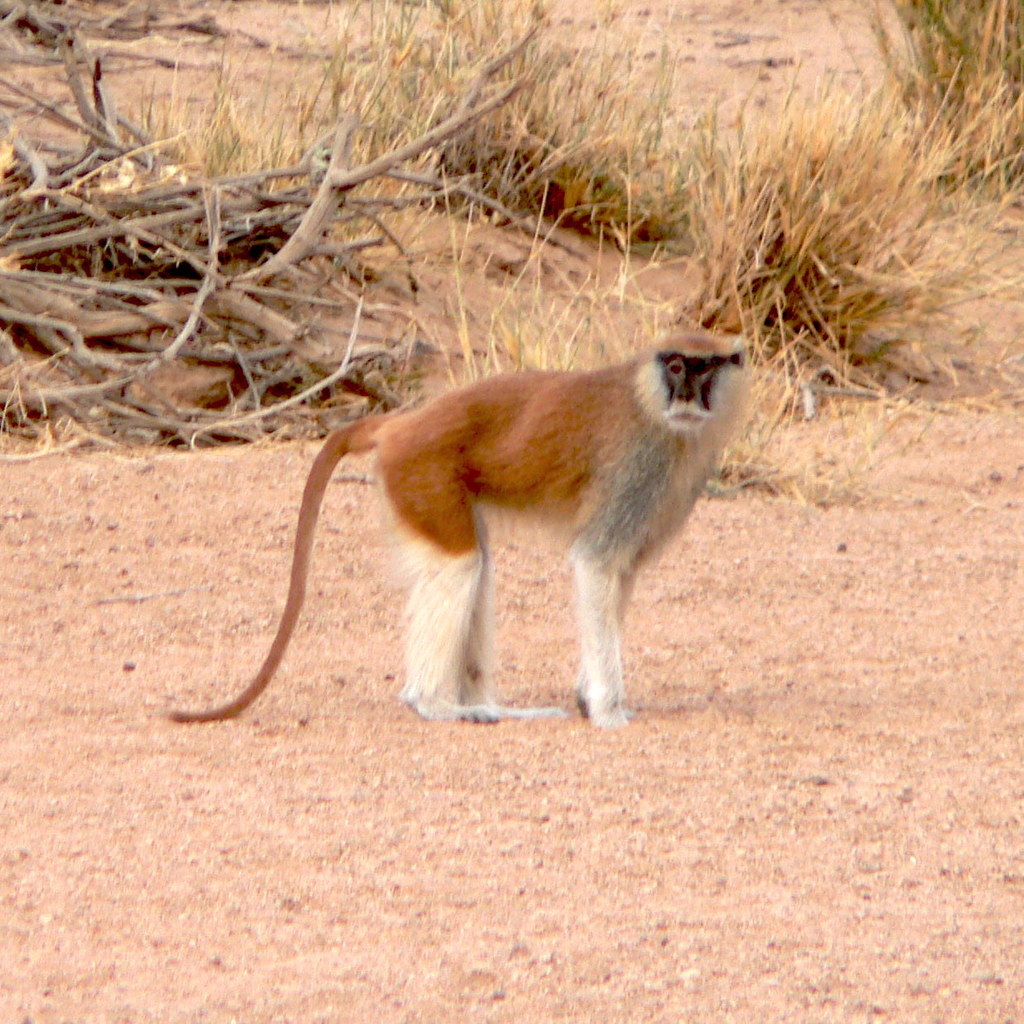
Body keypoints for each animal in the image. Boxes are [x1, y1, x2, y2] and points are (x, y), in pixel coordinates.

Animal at [168, 330, 748, 728]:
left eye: (704, 370)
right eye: (677, 365)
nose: (685, 395)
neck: (649, 402)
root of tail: (401, 422)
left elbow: (619, 575)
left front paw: (589, 697)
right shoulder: (637, 466)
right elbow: (596, 564)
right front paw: (608, 712)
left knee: (478, 565)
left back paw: (487, 706)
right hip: (420, 473)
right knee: (461, 564)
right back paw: (436, 705)